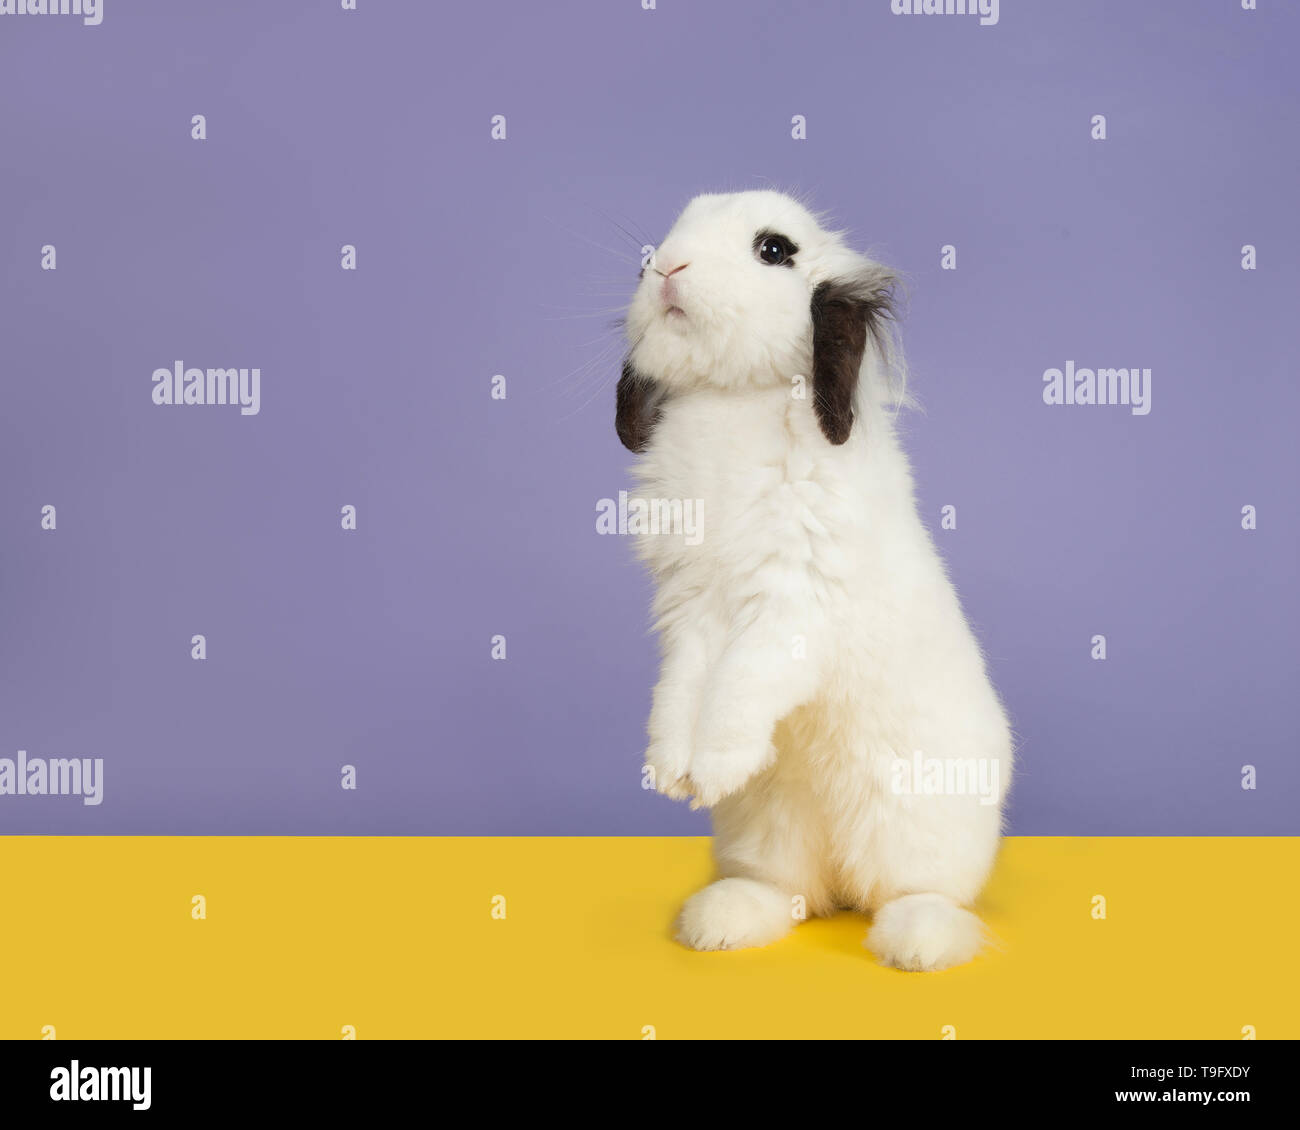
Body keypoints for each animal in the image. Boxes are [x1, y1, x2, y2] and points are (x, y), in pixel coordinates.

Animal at [615, 190, 1013, 971]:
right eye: (674, 229)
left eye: (774, 250)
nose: (665, 266)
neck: (733, 399)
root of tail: (844, 873)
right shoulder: (692, 613)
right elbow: (682, 689)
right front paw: (673, 771)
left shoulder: (790, 609)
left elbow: (739, 685)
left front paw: (712, 766)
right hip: (766, 829)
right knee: (793, 893)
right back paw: (722, 921)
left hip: (913, 823)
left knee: (920, 892)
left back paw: (918, 943)